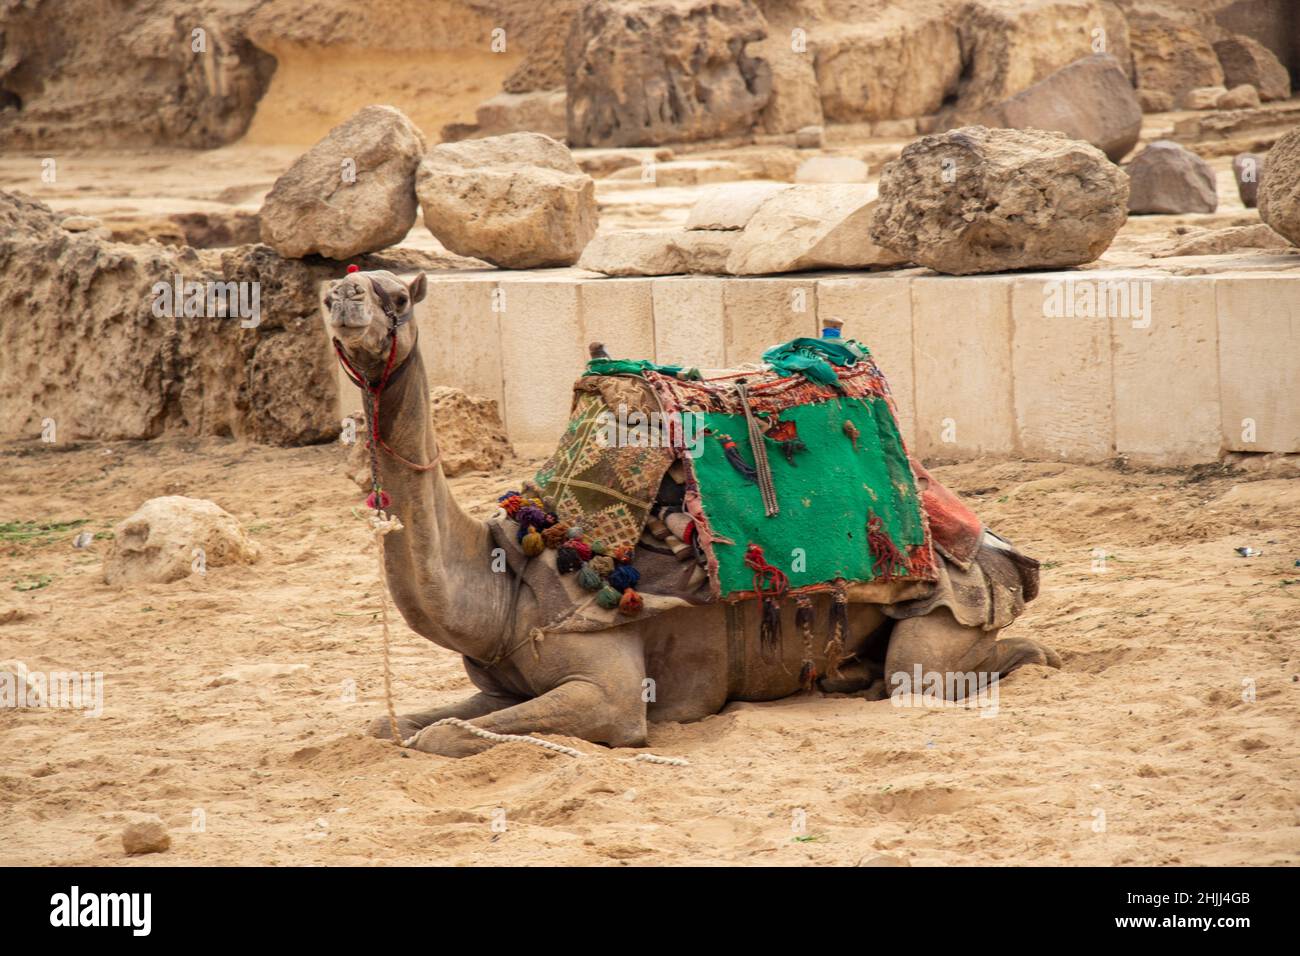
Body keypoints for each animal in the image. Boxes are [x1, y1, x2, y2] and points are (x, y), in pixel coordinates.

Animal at [325, 269, 1061, 757]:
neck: (500, 580)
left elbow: (445, 735)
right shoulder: (499, 687)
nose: (341, 299)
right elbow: (397, 724)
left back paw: (1030, 655)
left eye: (396, 297)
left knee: (934, 673)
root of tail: (997, 548)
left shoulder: (612, 693)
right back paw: (850, 676)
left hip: (955, 601)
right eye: (334, 290)